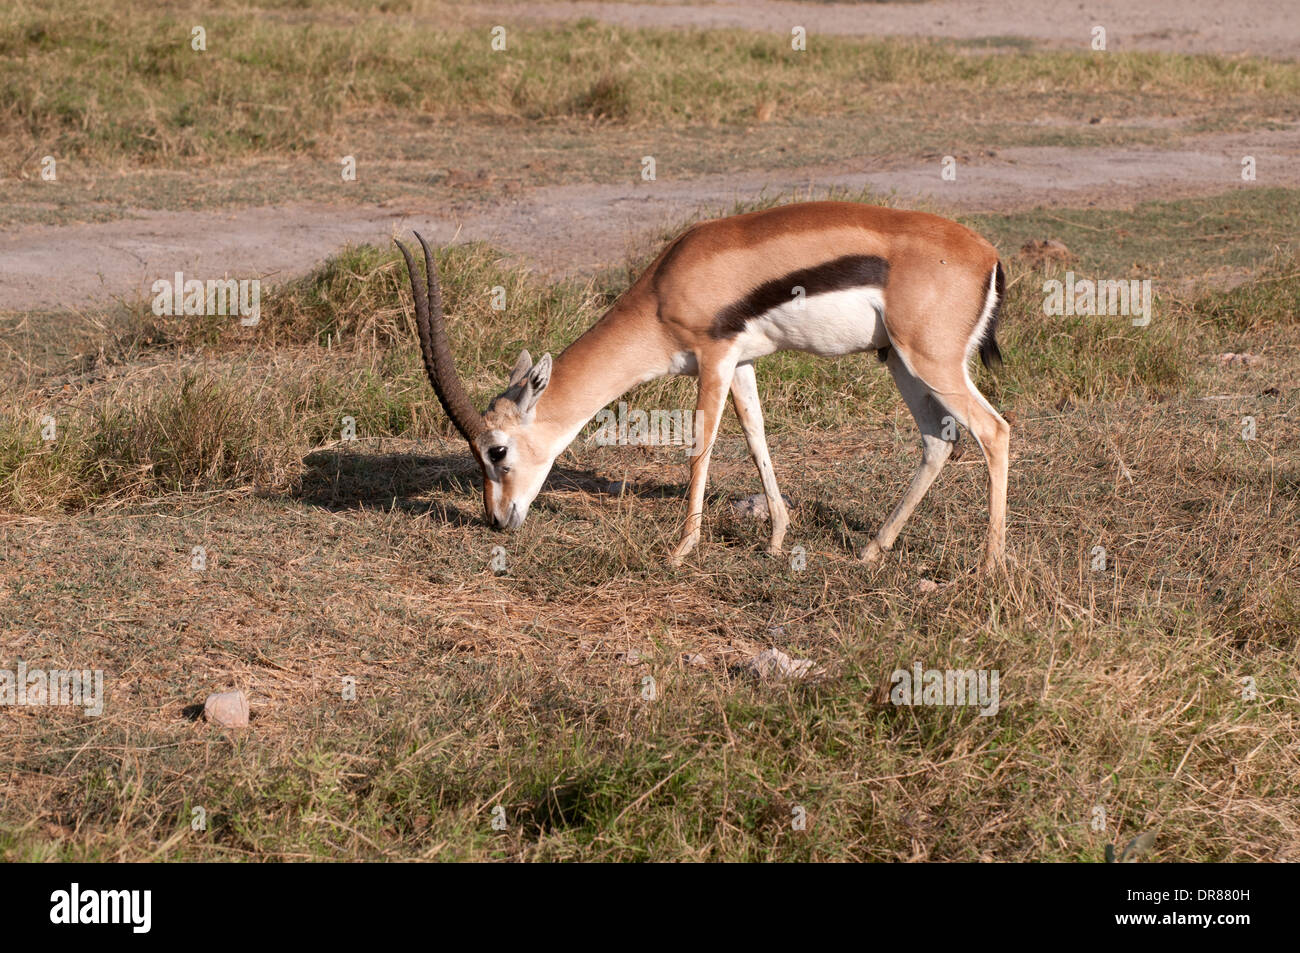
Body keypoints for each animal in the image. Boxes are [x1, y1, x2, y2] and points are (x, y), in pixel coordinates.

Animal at [395, 201, 1010, 571]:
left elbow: (700, 447)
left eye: (497, 451)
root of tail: (989, 256)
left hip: (932, 363)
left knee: (995, 431)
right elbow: (757, 437)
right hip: (901, 362)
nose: (497, 519)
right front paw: (777, 539)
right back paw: (869, 552)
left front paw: (679, 550)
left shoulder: (713, 358)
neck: (664, 288)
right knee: (938, 440)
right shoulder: (740, 363)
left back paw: (989, 566)